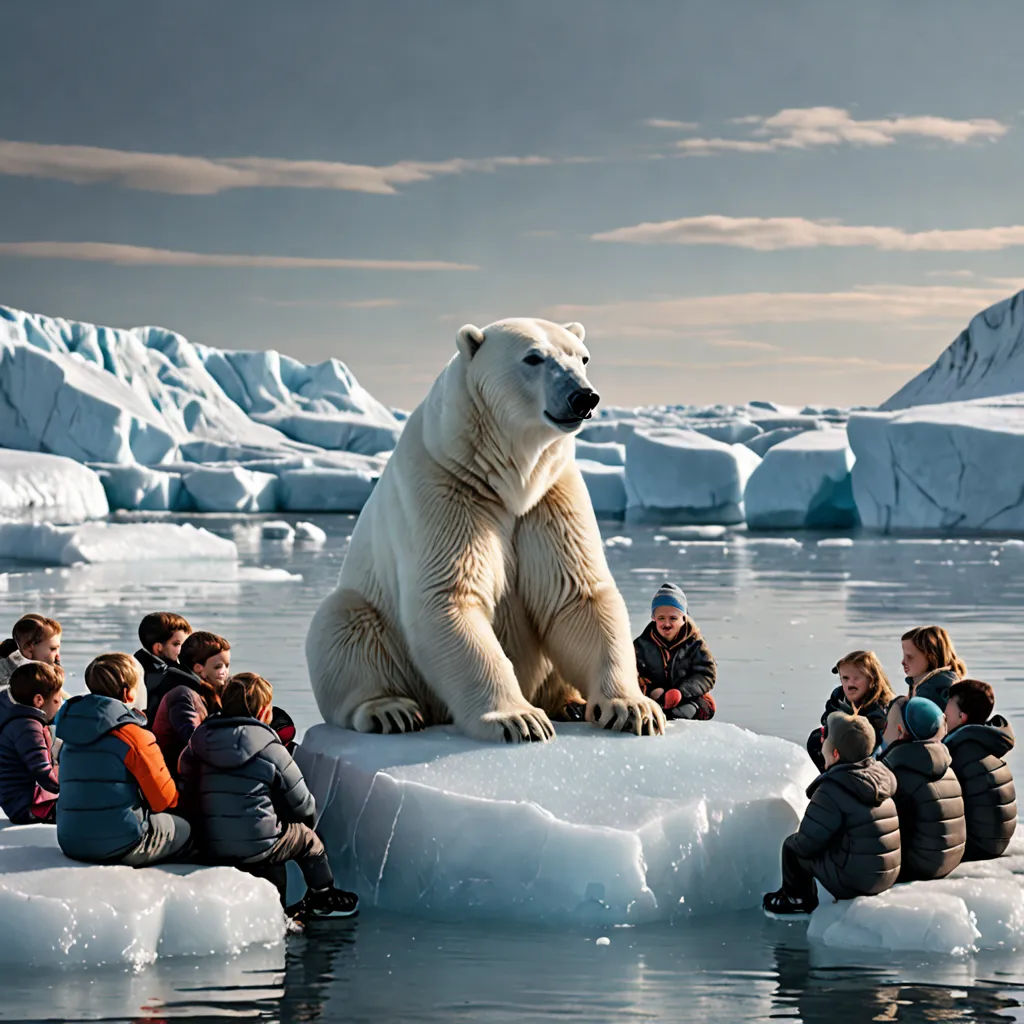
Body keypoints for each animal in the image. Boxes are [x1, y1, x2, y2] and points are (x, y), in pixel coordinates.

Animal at [305, 317, 665, 743]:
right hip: (375, 624)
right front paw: (519, 720)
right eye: (533, 357)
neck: (505, 479)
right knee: (342, 626)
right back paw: (389, 710)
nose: (584, 397)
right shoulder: (445, 489)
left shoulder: (552, 497)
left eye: (583, 357)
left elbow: (577, 594)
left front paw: (633, 709)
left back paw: (571, 703)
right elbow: (449, 595)